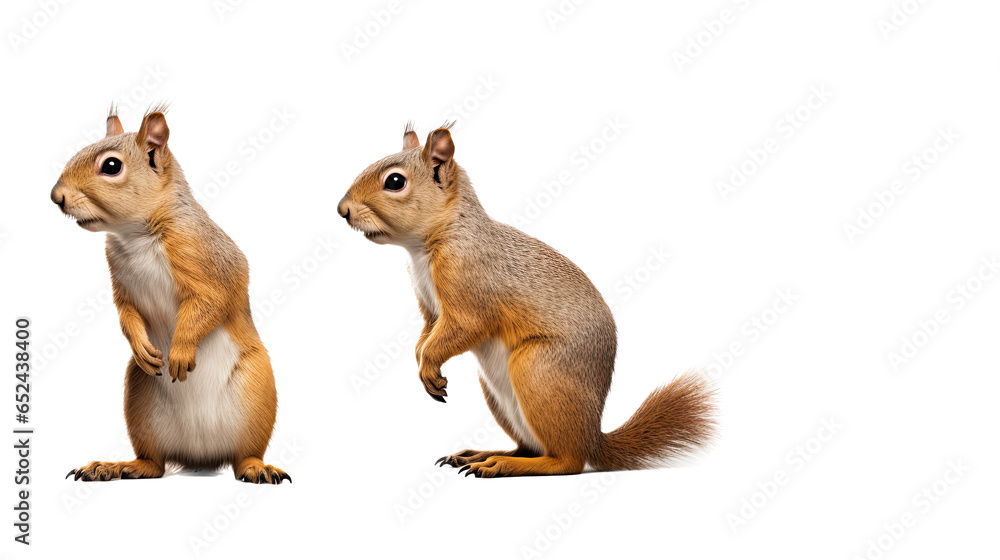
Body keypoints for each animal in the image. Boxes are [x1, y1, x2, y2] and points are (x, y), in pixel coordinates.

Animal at [50, 105, 289, 484]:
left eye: (111, 166)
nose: (56, 196)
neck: (135, 235)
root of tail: (202, 453)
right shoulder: (121, 285)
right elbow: (126, 313)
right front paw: (140, 344)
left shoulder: (208, 263)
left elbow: (210, 303)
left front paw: (180, 350)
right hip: (139, 401)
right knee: (154, 463)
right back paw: (118, 466)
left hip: (257, 395)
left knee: (245, 455)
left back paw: (258, 468)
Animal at [337, 123, 717, 477]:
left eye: (395, 181)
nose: (342, 210)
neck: (424, 247)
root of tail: (592, 436)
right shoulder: (430, 309)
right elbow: (426, 332)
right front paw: (420, 360)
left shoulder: (470, 288)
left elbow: (464, 327)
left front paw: (428, 364)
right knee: (529, 447)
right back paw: (482, 455)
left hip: (537, 371)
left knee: (566, 461)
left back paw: (502, 464)